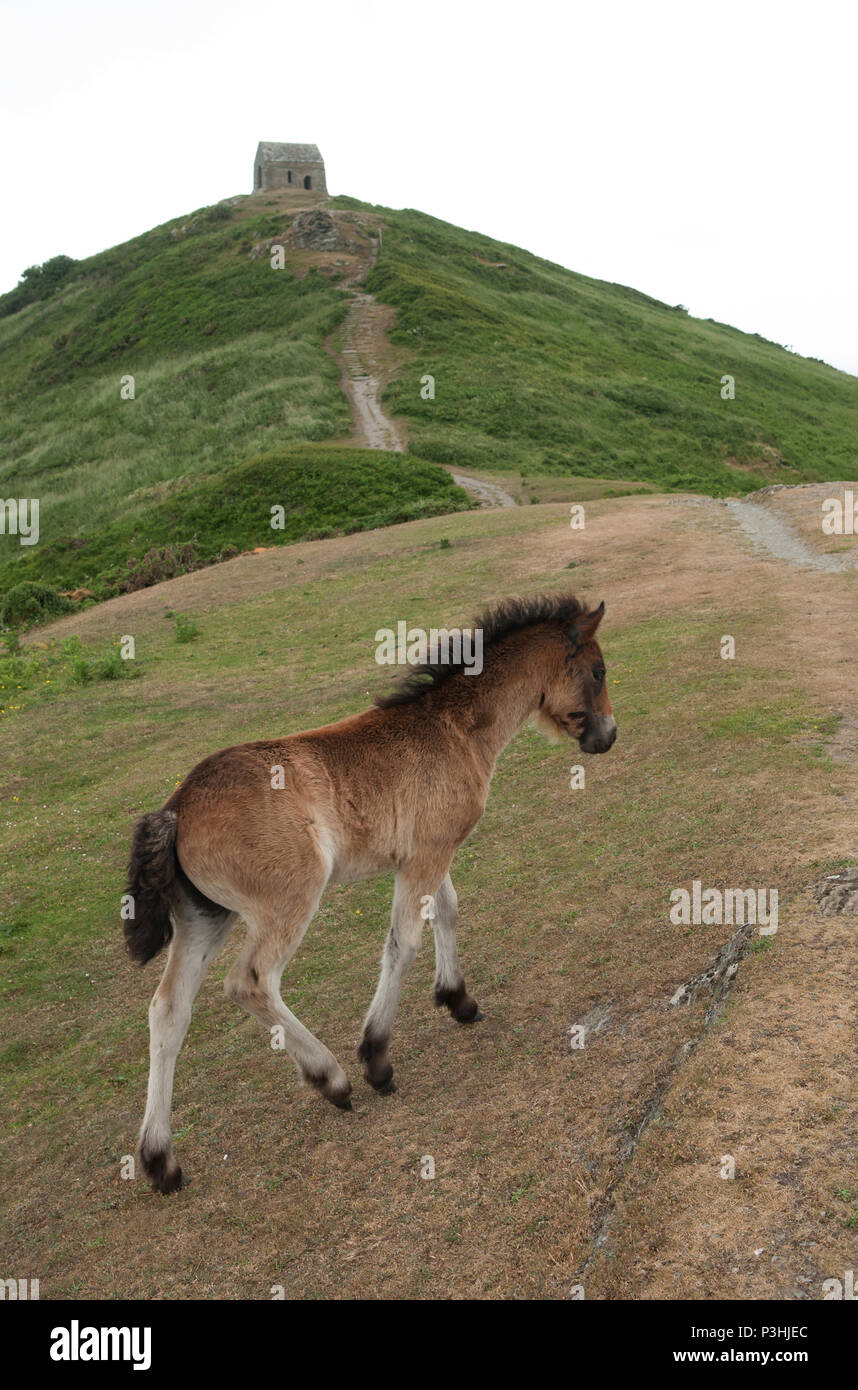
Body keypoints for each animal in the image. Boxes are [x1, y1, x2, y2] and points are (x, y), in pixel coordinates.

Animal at [124, 593, 617, 1192]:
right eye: (598, 670)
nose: (608, 736)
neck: (455, 729)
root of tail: (176, 807)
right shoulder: (426, 856)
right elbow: (402, 944)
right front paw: (377, 1056)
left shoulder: (427, 852)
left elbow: (447, 912)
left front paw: (458, 999)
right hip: (287, 900)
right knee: (250, 982)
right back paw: (331, 1078)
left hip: (206, 917)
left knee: (169, 1010)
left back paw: (160, 1160)